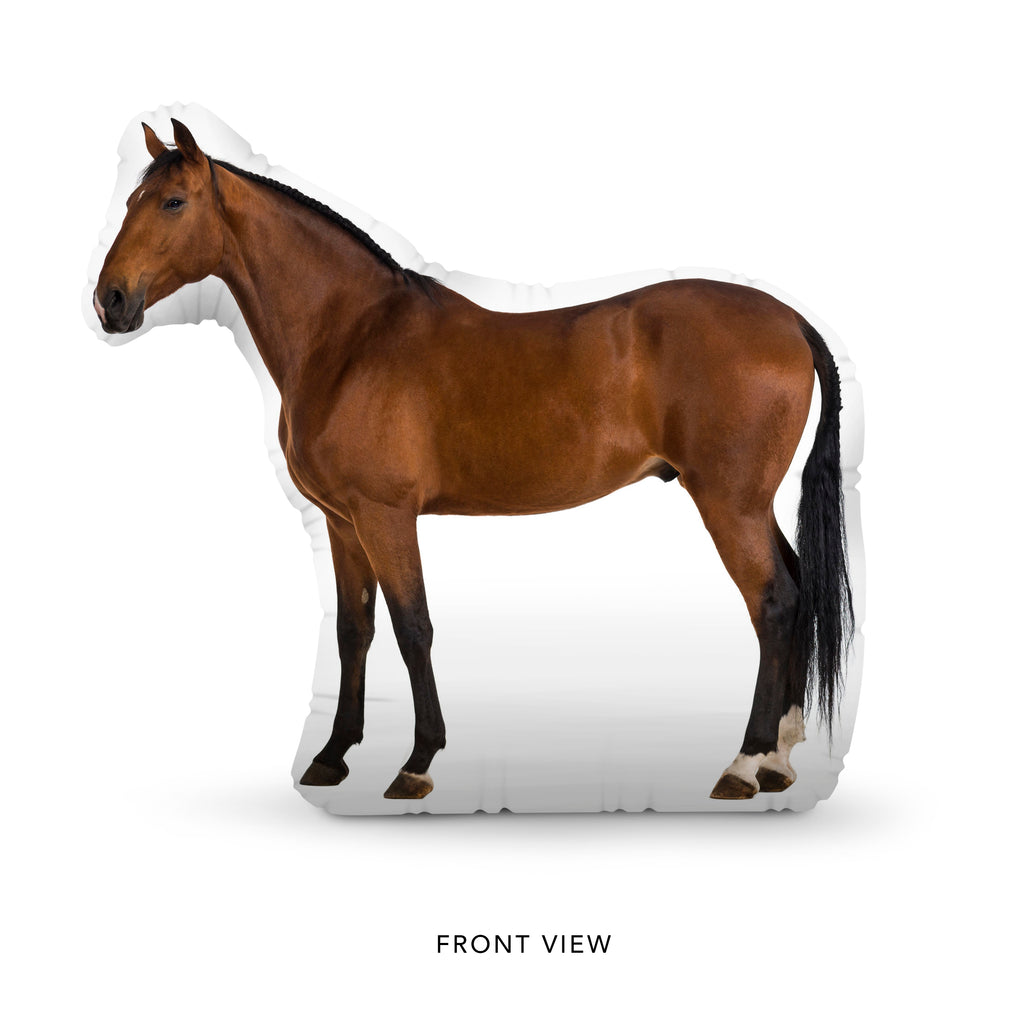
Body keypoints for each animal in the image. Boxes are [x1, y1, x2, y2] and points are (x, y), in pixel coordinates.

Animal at [93, 119, 852, 801]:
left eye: (172, 202)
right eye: (131, 199)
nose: (110, 300)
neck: (351, 338)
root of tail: (789, 321)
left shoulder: (385, 515)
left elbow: (413, 627)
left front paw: (416, 762)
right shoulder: (341, 522)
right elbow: (353, 631)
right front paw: (333, 756)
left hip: (728, 503)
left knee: (773, 602)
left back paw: (745, 764)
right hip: (750, 503)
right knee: (794, 588)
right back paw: (779, 757)